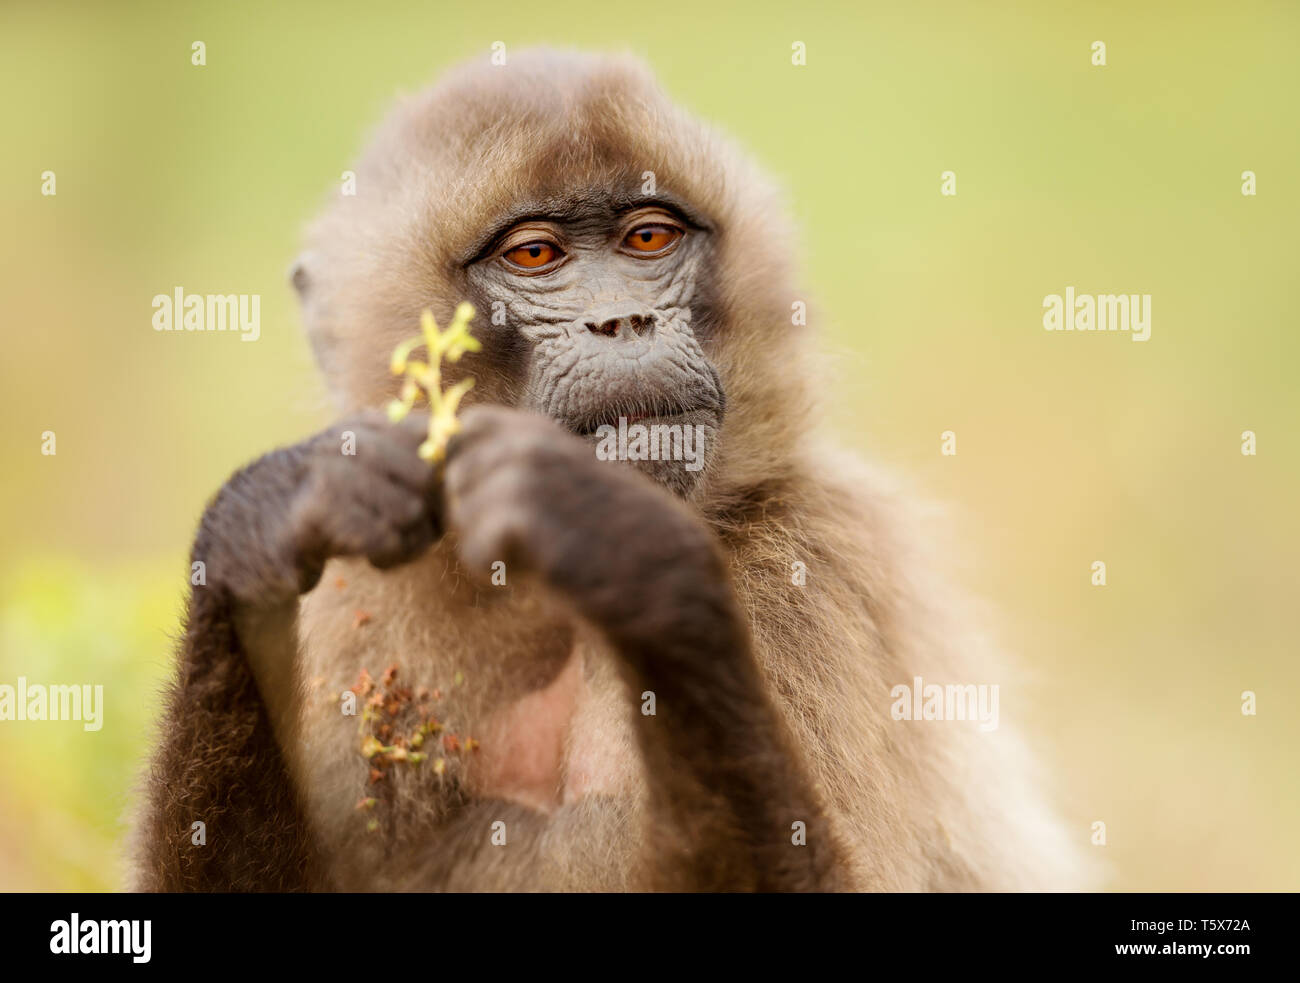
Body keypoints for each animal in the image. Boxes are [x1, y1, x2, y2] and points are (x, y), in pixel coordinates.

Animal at [132, 48, 1085, 892]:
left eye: (648, 238)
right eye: (534, 255)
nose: (624, 321)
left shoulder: (812, 568)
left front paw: (630, 552)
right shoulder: (361, 598)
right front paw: (257, 531)